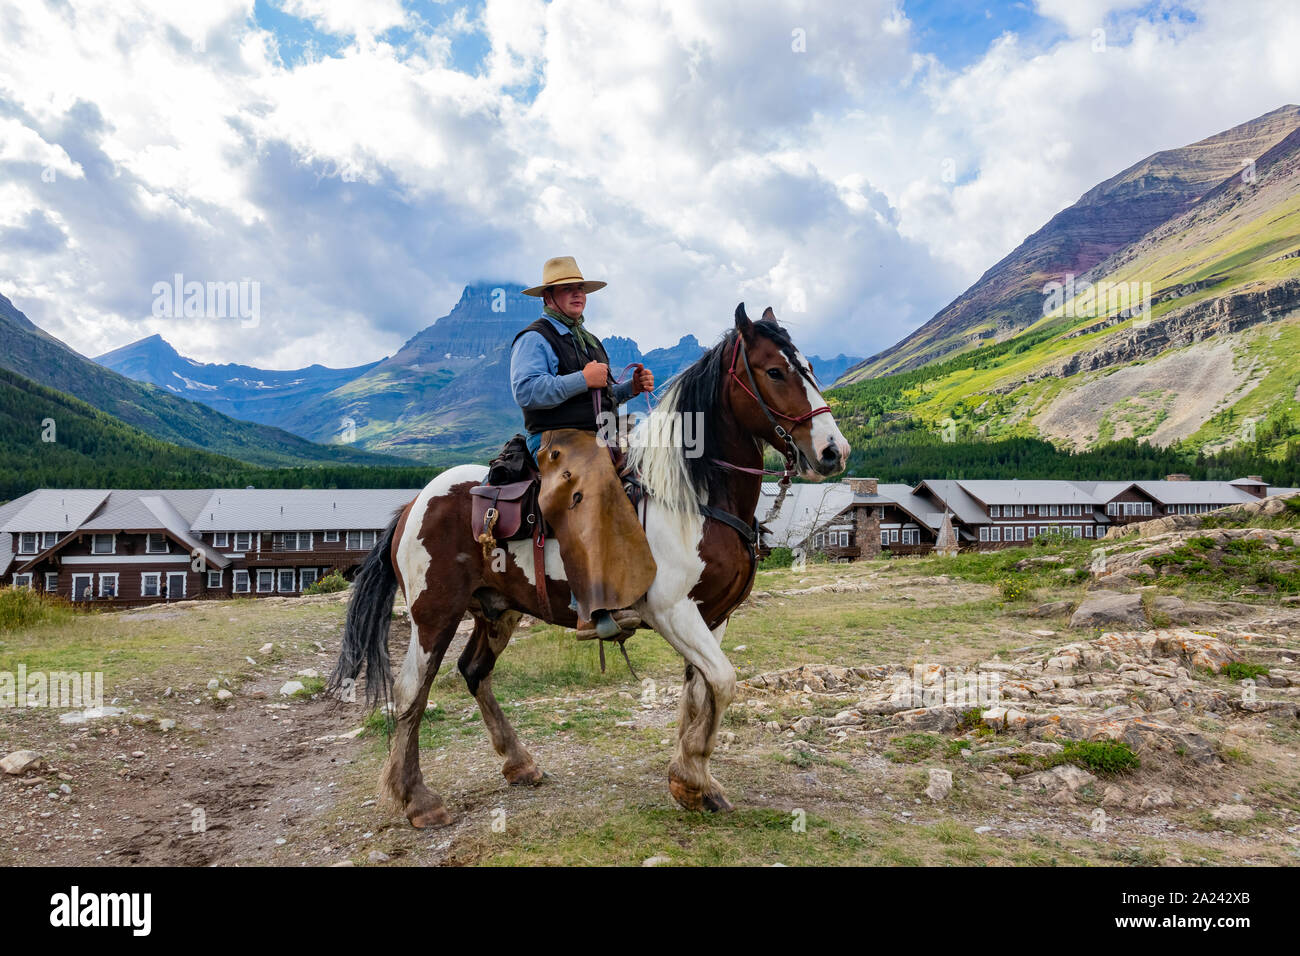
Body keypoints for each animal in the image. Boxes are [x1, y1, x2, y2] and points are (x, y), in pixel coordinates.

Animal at [329, 303, 850, 827]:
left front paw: (695, 780)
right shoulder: (671, 611)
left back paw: (520, 764)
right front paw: (690, 780)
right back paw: (418, 799)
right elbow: (723, 682)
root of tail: (413, 503)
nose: (834, 451)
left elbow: (699, 692)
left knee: (473, 670)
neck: (693, 498)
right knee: (412, 689)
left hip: (497, 610)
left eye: (809, 367)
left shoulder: (713, 615)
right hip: (433, 613)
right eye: (775, 371)